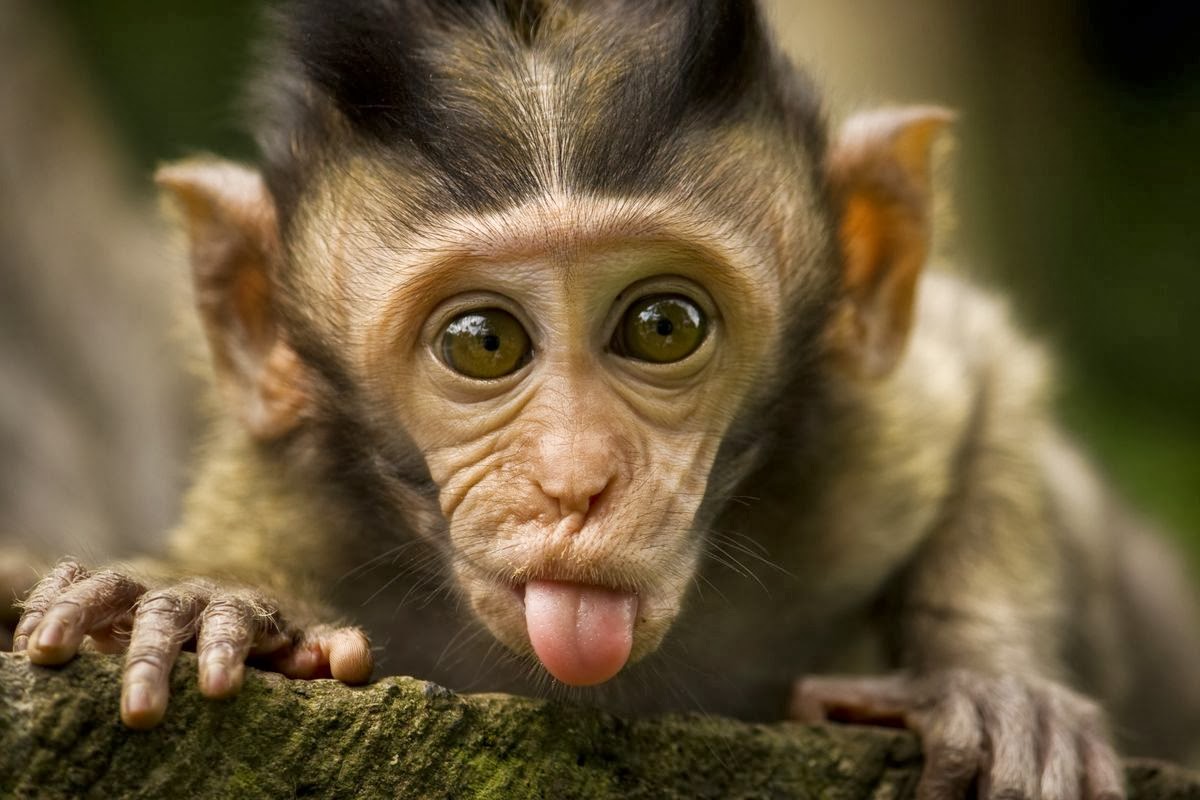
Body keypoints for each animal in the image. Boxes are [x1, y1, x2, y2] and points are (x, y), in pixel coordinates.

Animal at [12, 0, 1200, 797]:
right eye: (483, 342)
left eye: (662, 326)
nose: (576, 481)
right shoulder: (288, 498)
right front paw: (212, 602)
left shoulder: (865, 448)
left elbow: (985, 373)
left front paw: (991, 684)